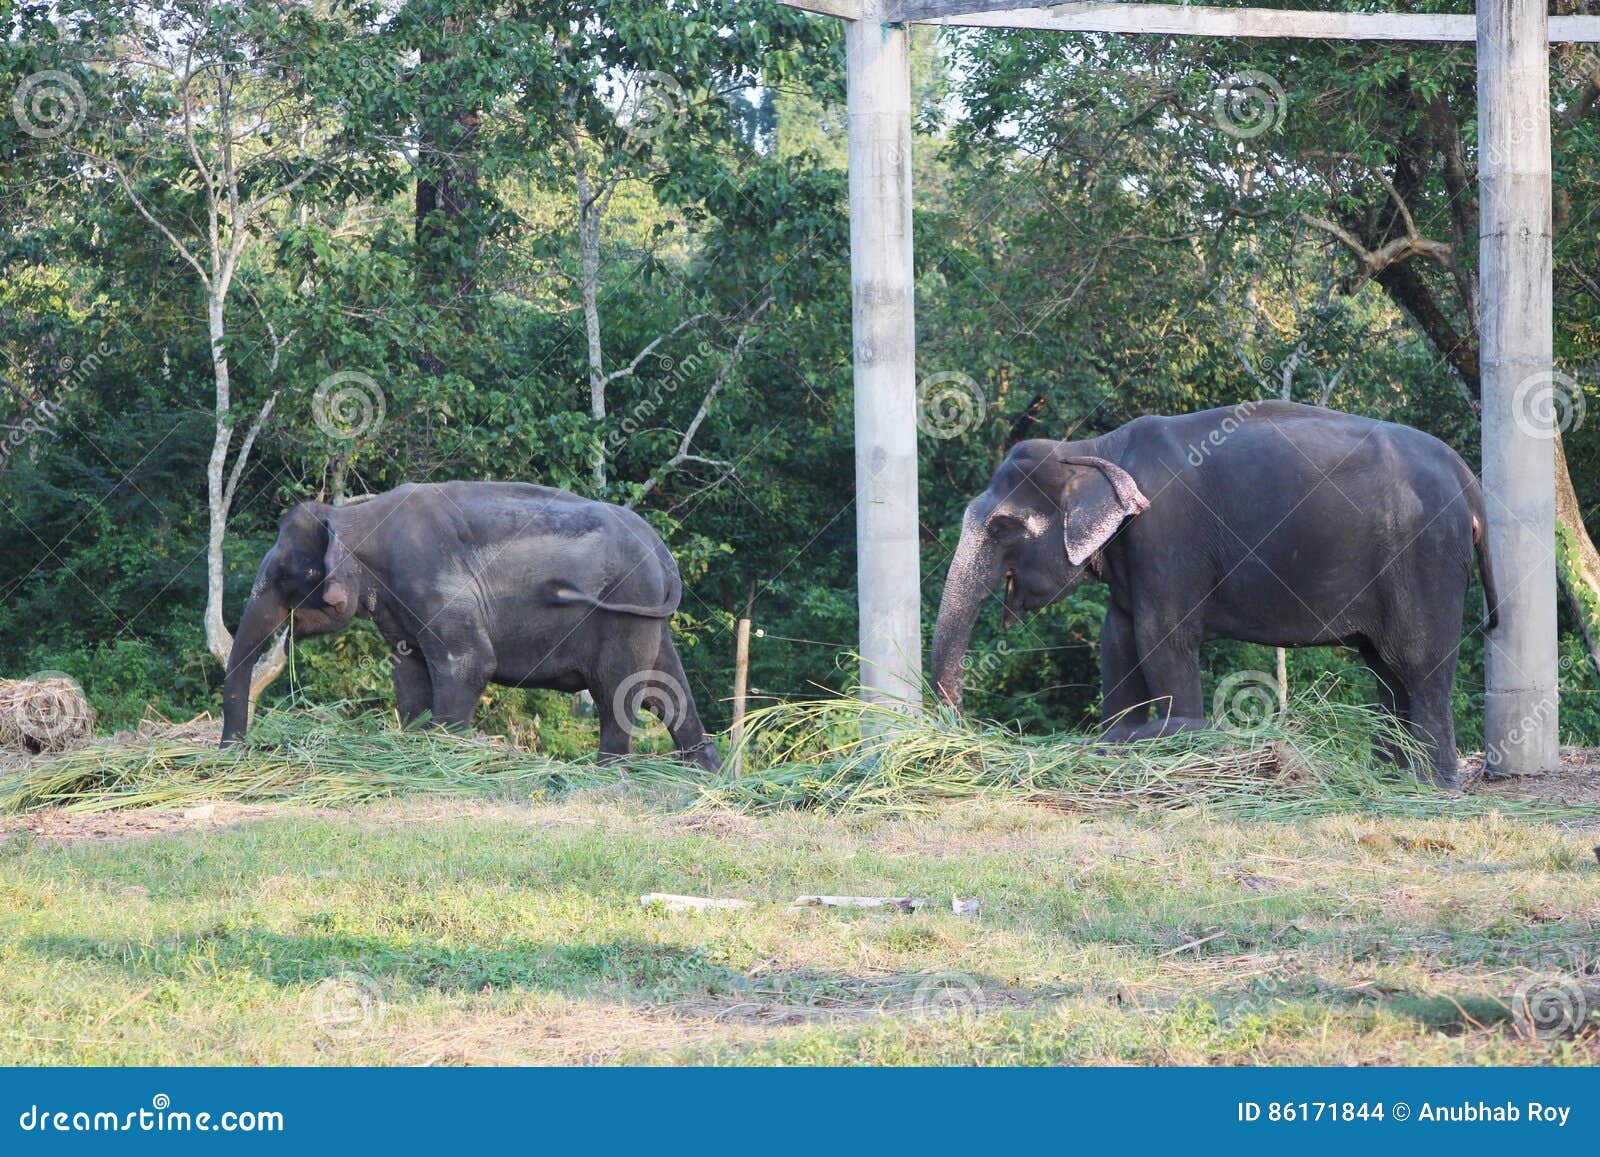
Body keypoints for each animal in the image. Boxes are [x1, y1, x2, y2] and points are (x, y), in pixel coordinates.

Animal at [220, 481, 720, 771]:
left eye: (294, 574)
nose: (231, 752)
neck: (357, 517)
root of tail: (662, 551)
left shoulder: (431, 577)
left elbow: (467, 663)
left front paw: (444, 754)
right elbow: (410, 672)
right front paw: (415, 744)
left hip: (625, 608)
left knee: (618, 692)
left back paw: (604, 774)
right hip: (647, 615)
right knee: (665, 691)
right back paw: (708, 776)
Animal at [929, 401, 1498, 787]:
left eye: (1002, 527)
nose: (963, 730)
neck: (1092, 451)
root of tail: (1466, 477)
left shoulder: (1166, 536)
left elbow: (1162, 640)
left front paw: (1175, 743)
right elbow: (1117, 639)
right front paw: (1124, 736)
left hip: (1424, 557)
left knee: (1419, 663)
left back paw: (1433, 786)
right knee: (1385, 668)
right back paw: (1388, 779)